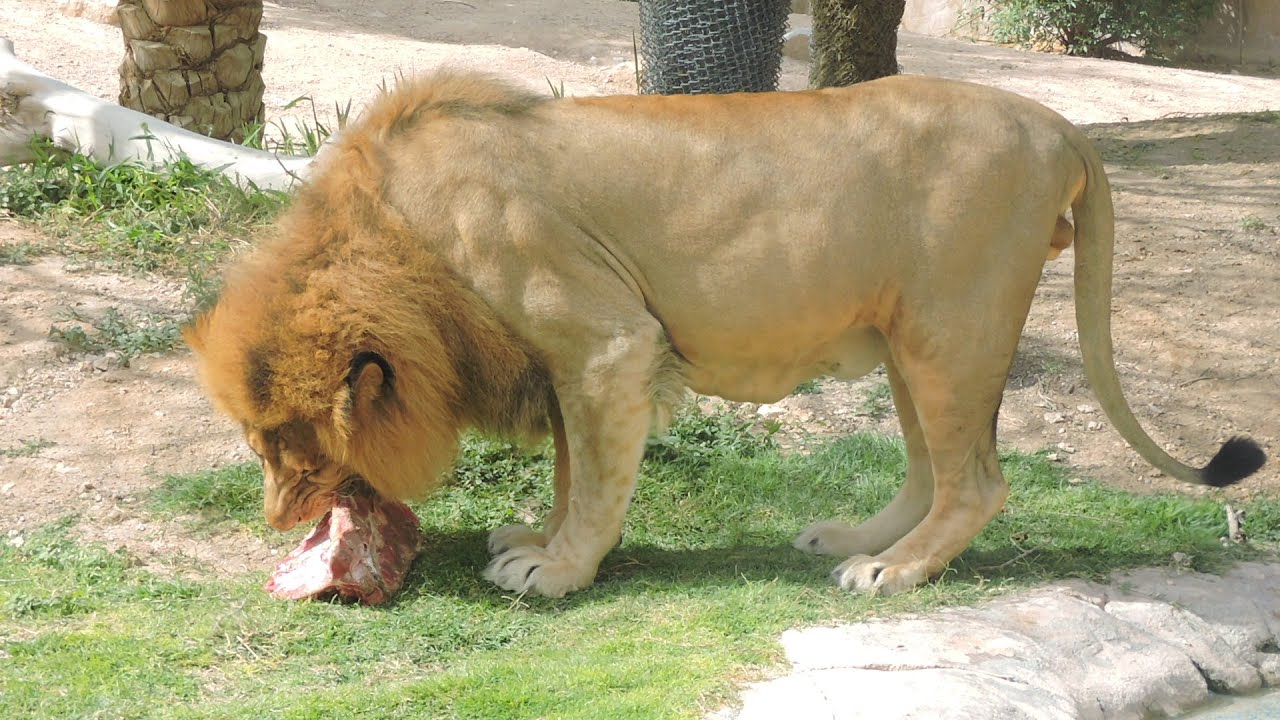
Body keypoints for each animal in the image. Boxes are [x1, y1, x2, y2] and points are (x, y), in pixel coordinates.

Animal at [184, 69, 1265, 598]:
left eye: (283, 447)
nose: (273, 520)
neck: (393, 232)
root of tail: (1054, 120)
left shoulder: (605, 341)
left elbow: (596, 481)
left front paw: (558, 572)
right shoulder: (562, 364)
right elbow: (573, 470)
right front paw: (539, 537)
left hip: (950, 329)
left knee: (978, 481)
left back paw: (891, 570)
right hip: (906, 339)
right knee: (930, 472)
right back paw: (856, 538)